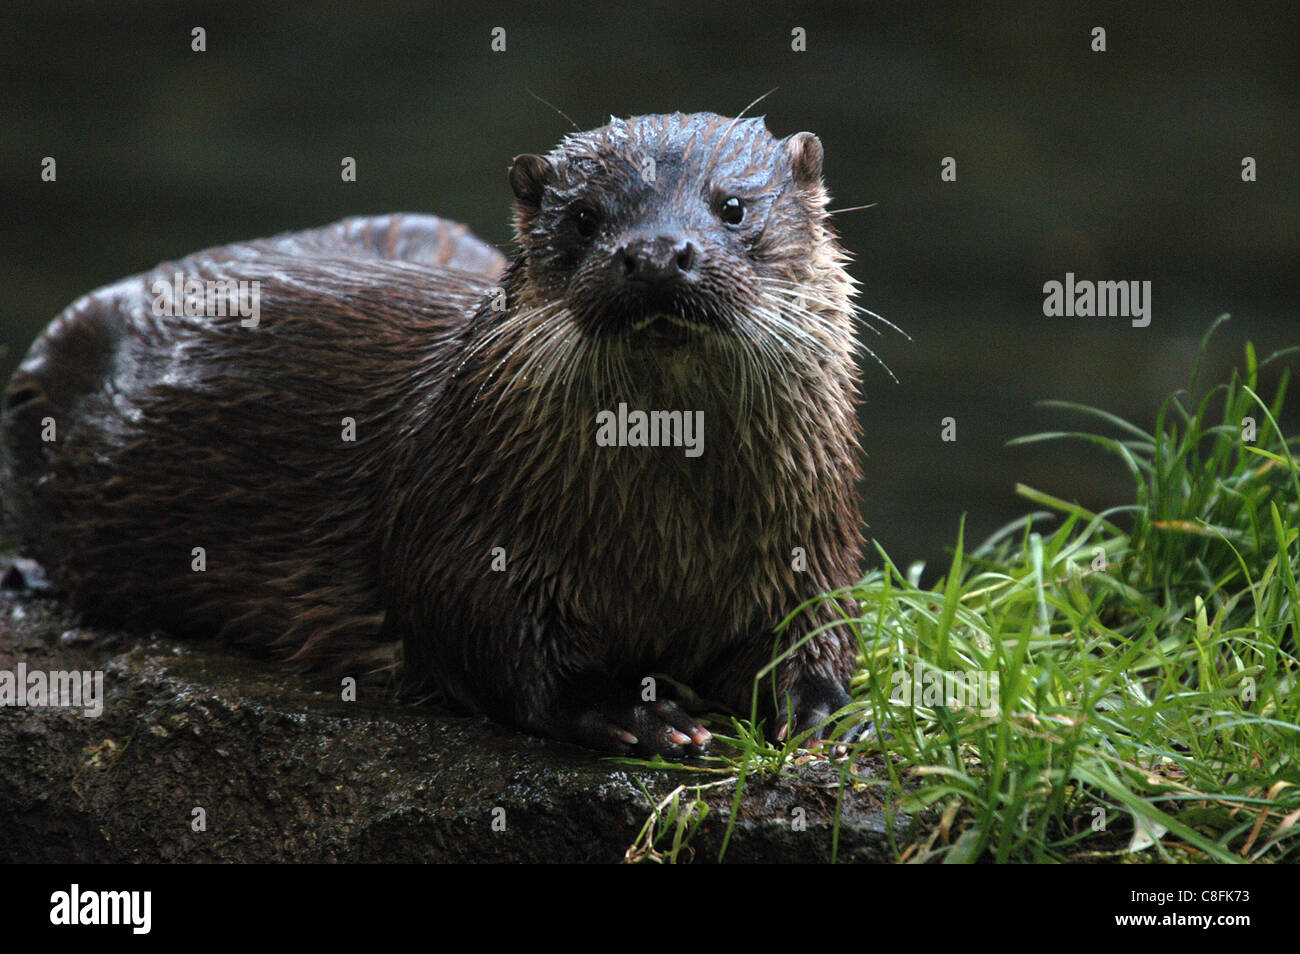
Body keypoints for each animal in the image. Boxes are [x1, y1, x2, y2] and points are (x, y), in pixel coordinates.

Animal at [1, 112, 866, 758]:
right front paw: (634, 712)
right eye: (586, 219)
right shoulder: (460, 527)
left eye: (733, 207)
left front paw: (818, 704)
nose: (655, 252)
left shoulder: (812, 538)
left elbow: (818, 622)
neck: (667, 547)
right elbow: (492, 646)